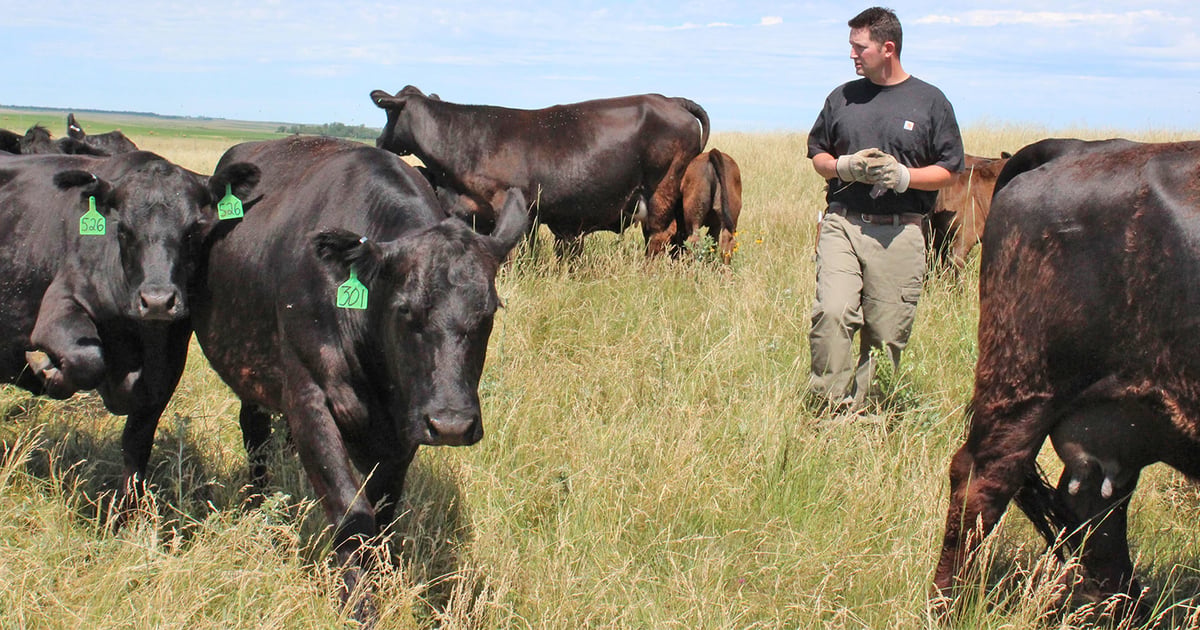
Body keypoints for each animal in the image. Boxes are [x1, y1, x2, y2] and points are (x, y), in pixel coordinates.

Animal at [0, 151, 259, 501]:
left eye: (193, 230)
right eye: (122, 229)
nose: (158, 301)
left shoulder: (166, 362)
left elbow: (137, 444)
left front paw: (127, 510)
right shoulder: (58, 307)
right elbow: (86, 360)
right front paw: (47, 371)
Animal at [192, 136, 527, 619]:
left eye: (489, 311)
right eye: (404, 310)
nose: (451, 424)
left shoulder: (403, 425)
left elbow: (384, 510)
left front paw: (384, 578)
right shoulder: (307, 397)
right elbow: (349, 510)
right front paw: (358, 602)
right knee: (254, 435)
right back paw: (257, 505)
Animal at [370, 86, 709, 258]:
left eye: (388, 112)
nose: (379, 140)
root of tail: (670, 99)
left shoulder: (506, 203)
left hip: (661, 187)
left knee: (659, 235)